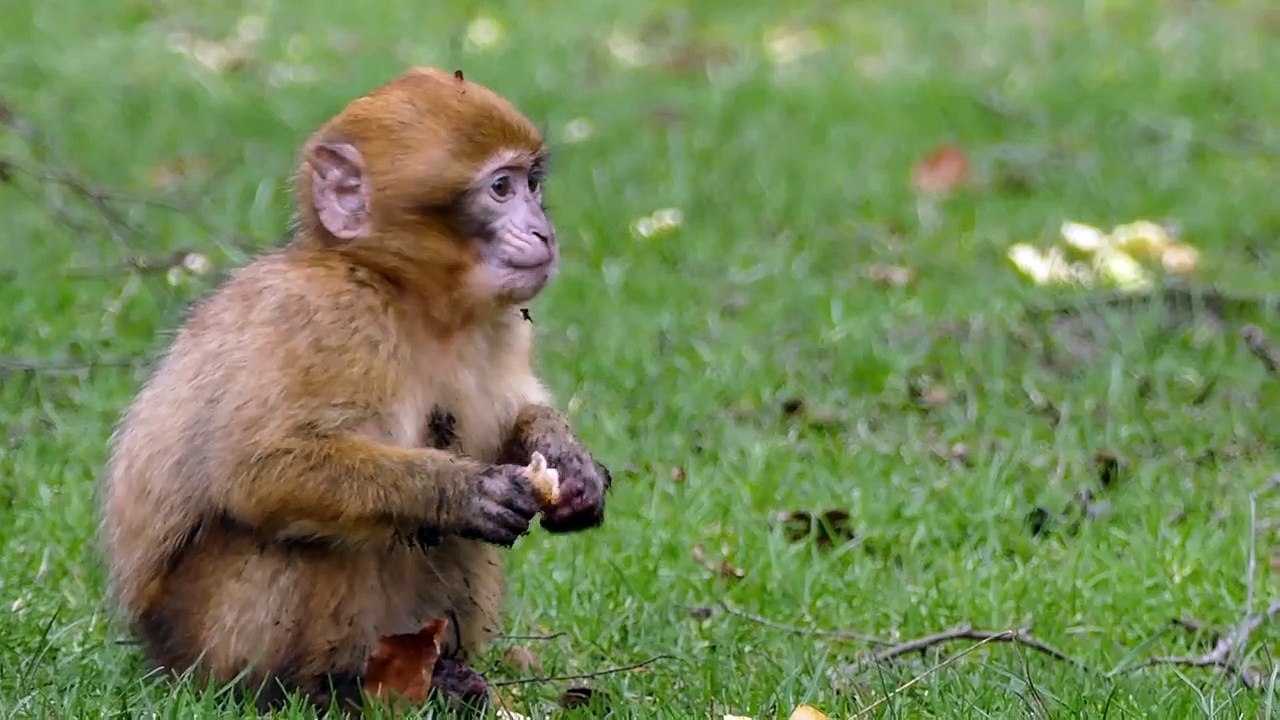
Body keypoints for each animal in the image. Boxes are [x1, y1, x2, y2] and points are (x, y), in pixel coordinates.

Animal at [97, 66, 612, 714]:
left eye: (532, 183)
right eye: (500, 188)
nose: (544, 230)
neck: (402, 292)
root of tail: (155, 656)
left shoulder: (500, 325)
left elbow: (515, 414)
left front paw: (570, 464)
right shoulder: (330, 318)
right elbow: (257, 469)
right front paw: (462, 491)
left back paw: (440, 675)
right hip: (199, 641)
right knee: (297, 539)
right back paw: (318, 690)